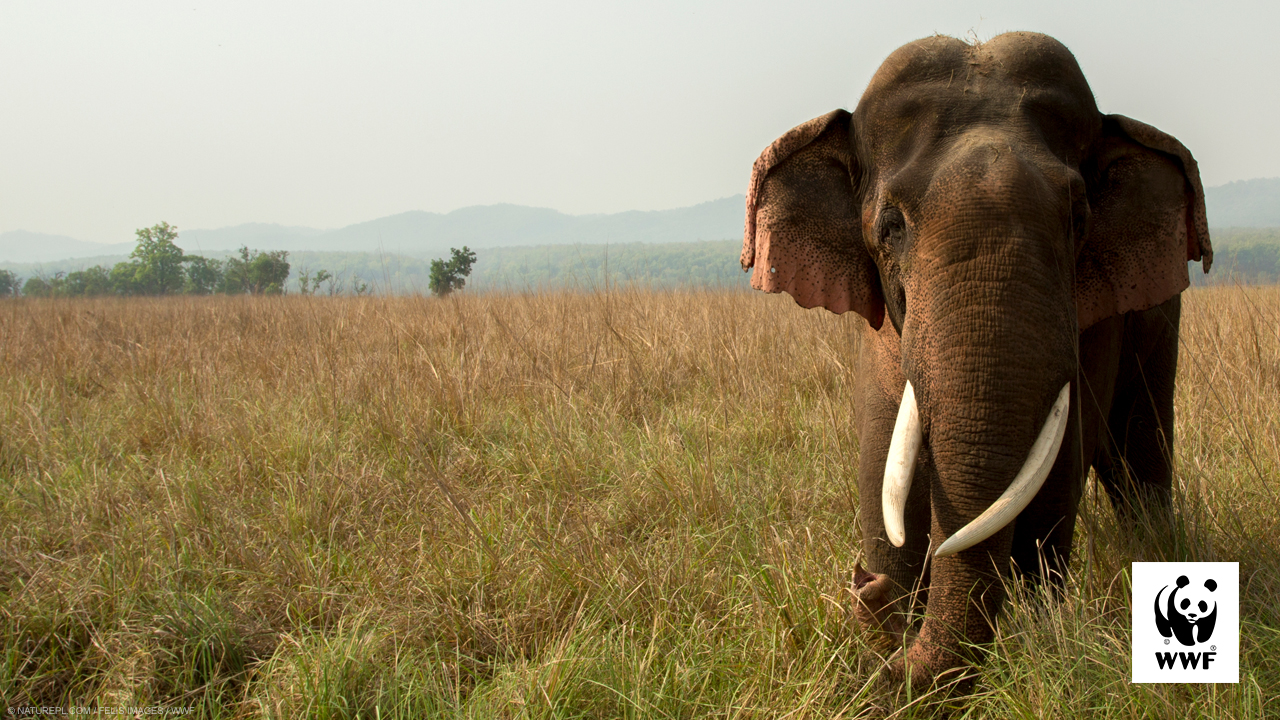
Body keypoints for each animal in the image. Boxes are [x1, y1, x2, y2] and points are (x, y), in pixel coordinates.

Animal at [740, 32, 1211, 688]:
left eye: (1078, 219)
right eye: (890, 226)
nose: (862, 586)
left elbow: (1048, 496)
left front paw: (1036, 631)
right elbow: (882, 483)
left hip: (1158, 316)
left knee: (1139, 458)